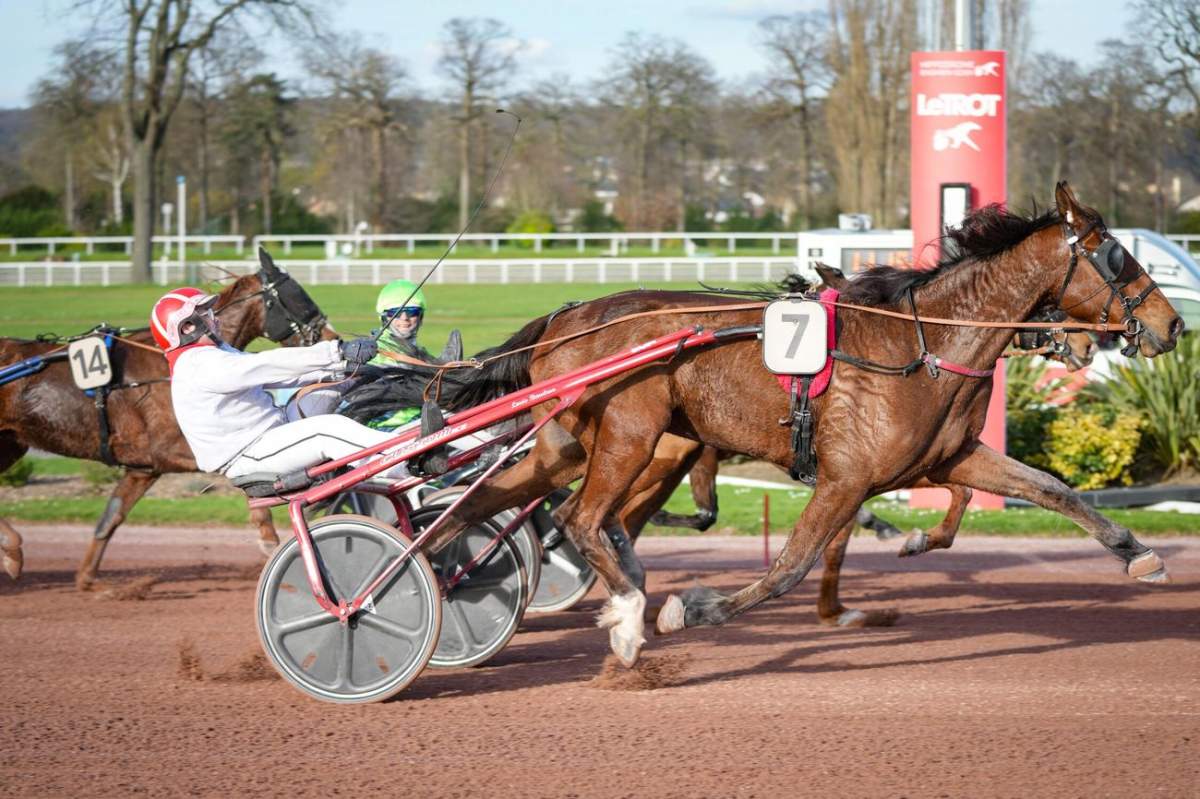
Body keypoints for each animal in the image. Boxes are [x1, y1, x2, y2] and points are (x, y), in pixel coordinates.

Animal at [0, 248, 337, 588]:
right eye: (298, 298)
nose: (330, 334)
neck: (170, 362)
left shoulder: (143, 468)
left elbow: (111, 516)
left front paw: (87, 577)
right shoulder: (168, 451)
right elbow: (231, 473)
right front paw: (268, 533)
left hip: (12, 444)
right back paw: (12, 548)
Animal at [427, 183, 1182, 666]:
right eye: (1117, 255)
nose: (1172, 324)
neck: (923, 342)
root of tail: (567, 316)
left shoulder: (951, 457)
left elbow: (1053, 489)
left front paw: (1139, 552)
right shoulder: (845, 477)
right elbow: (789, 567)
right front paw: (688, 611)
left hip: (564, 446)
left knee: (479, 504)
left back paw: (433, 574)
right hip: (631, 436)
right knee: (580, 520)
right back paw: (629, 613)